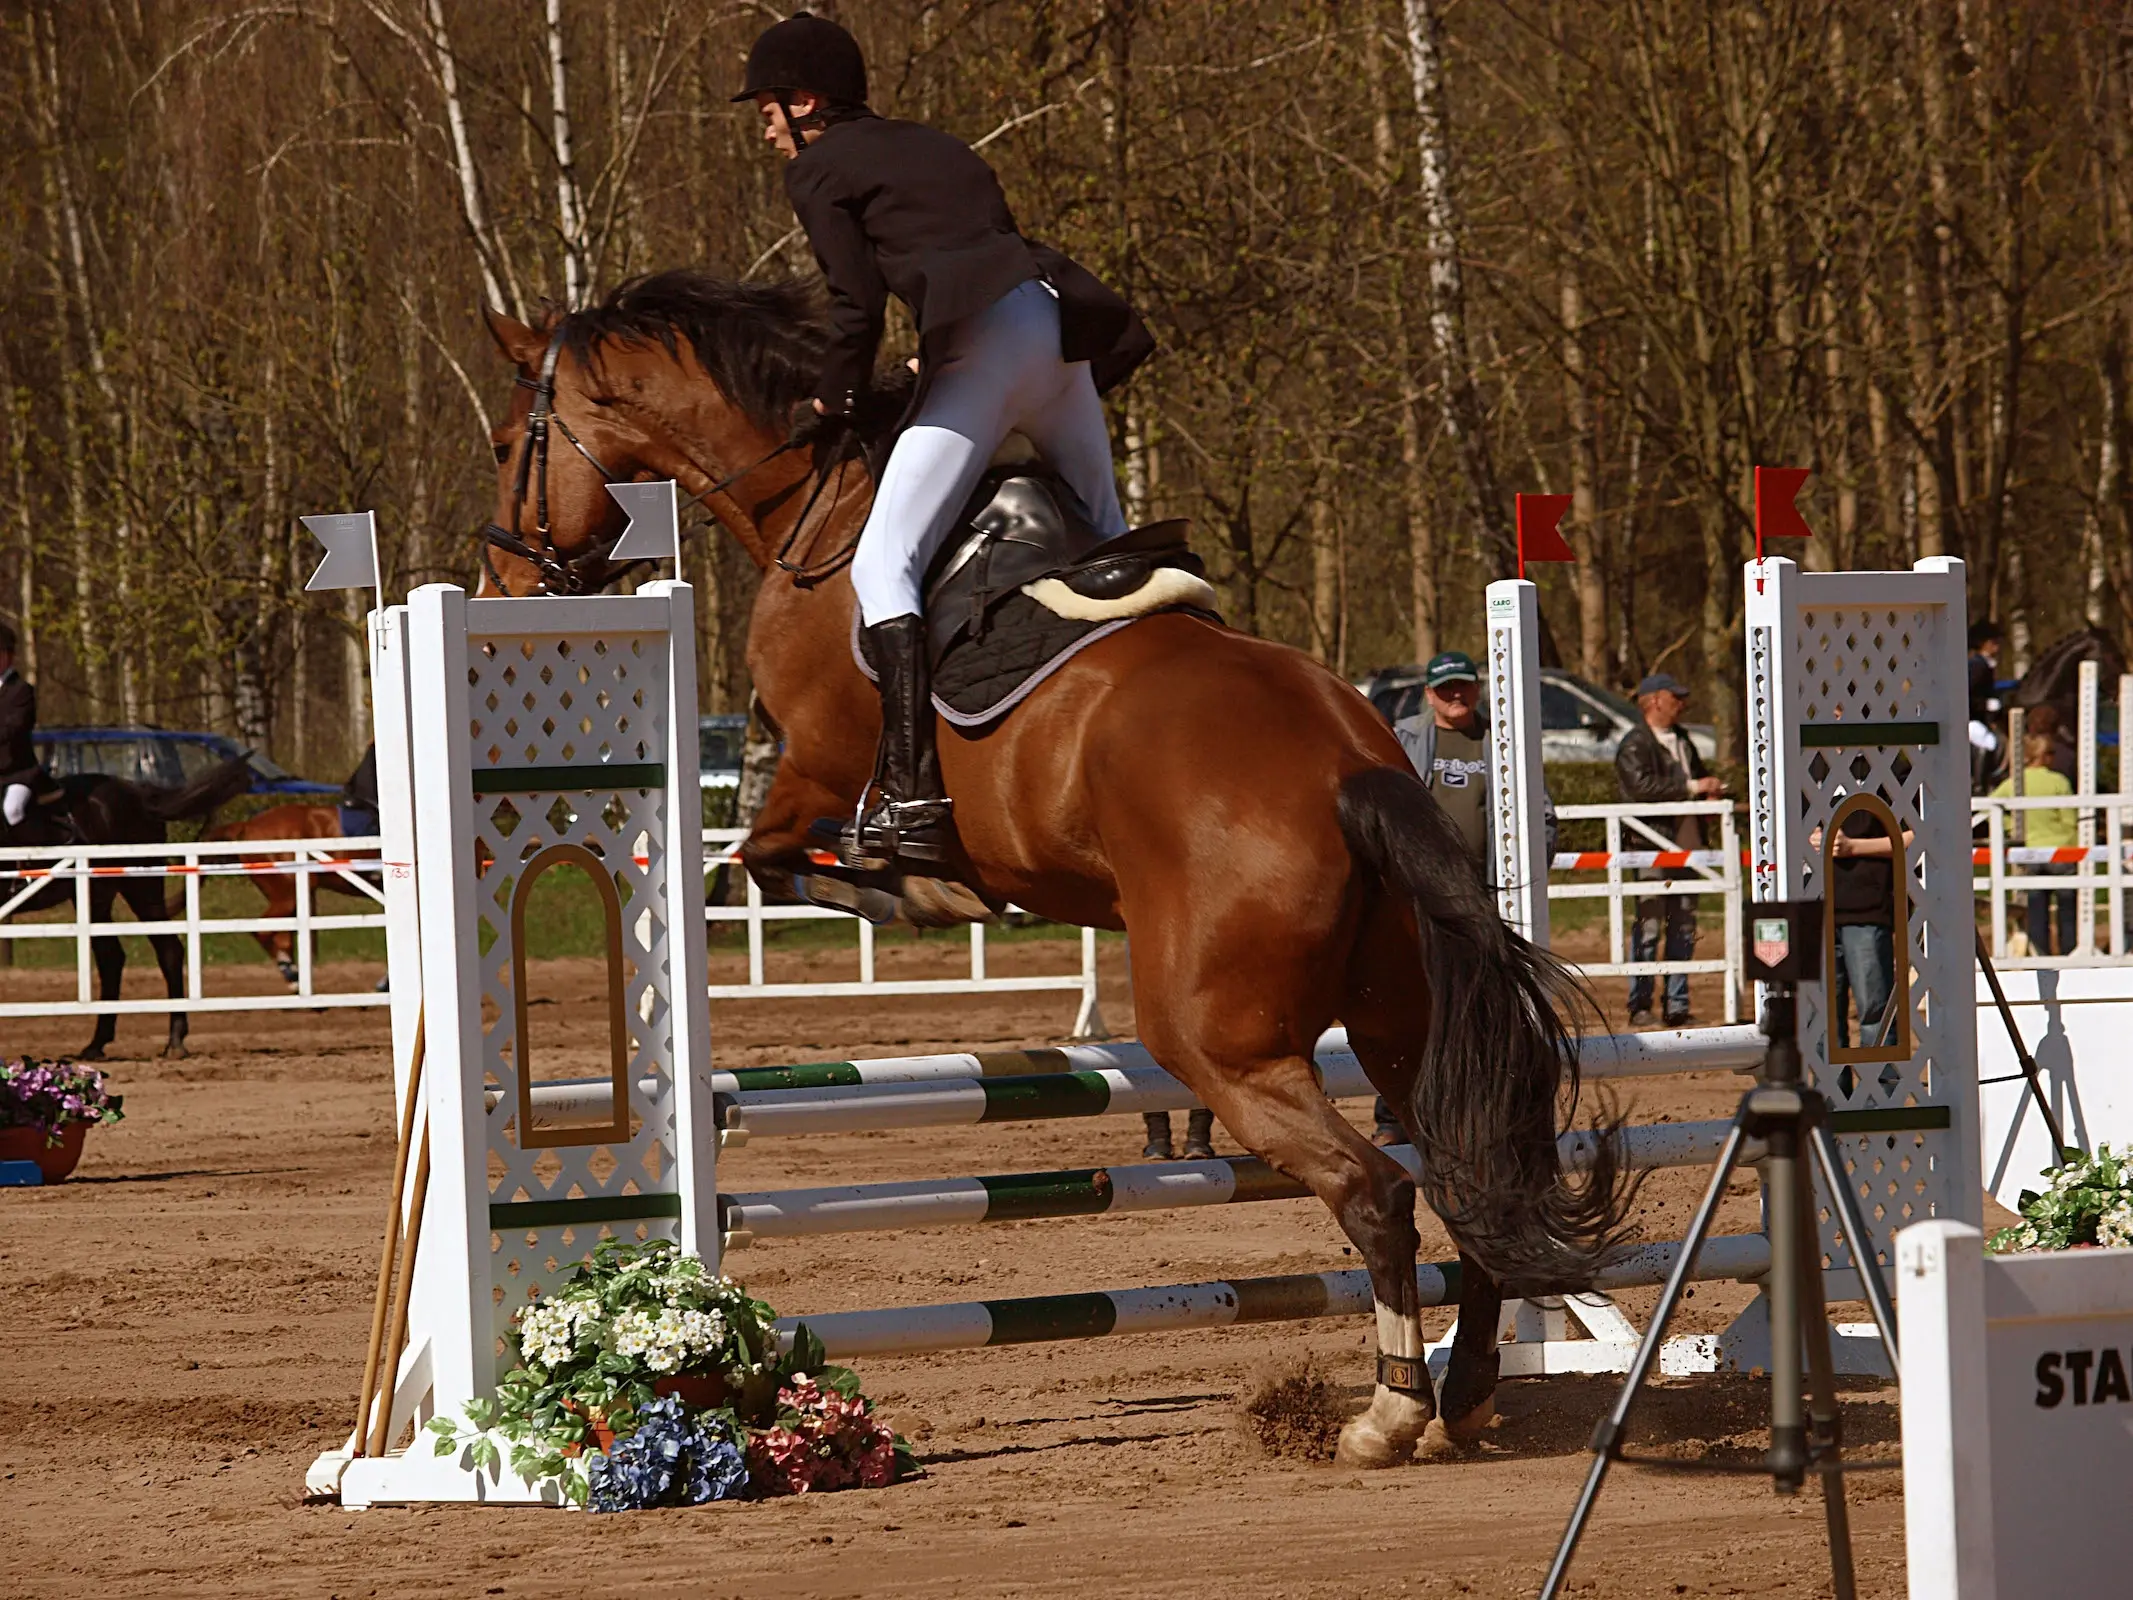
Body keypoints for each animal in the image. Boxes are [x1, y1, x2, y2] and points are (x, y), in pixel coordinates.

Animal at [1, 756, 255, 1059]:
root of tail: (137, 792)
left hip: (138, 887)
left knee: (166, 951)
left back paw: (175, 1039)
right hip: (98, 897)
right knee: (112, 958)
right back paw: (97, 1043)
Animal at [473, 270, 1633, 1467]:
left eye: (511, 440)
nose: (499, 576)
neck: (818, 509)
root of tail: (1352, 769)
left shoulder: (810, 763)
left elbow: (769, 852)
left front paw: (904, 875)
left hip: (1222, 1043)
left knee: (1378, 1193)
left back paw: (1390, 1411)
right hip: (1398, 1017)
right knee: (1459, 1165)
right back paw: (1472, 1392)